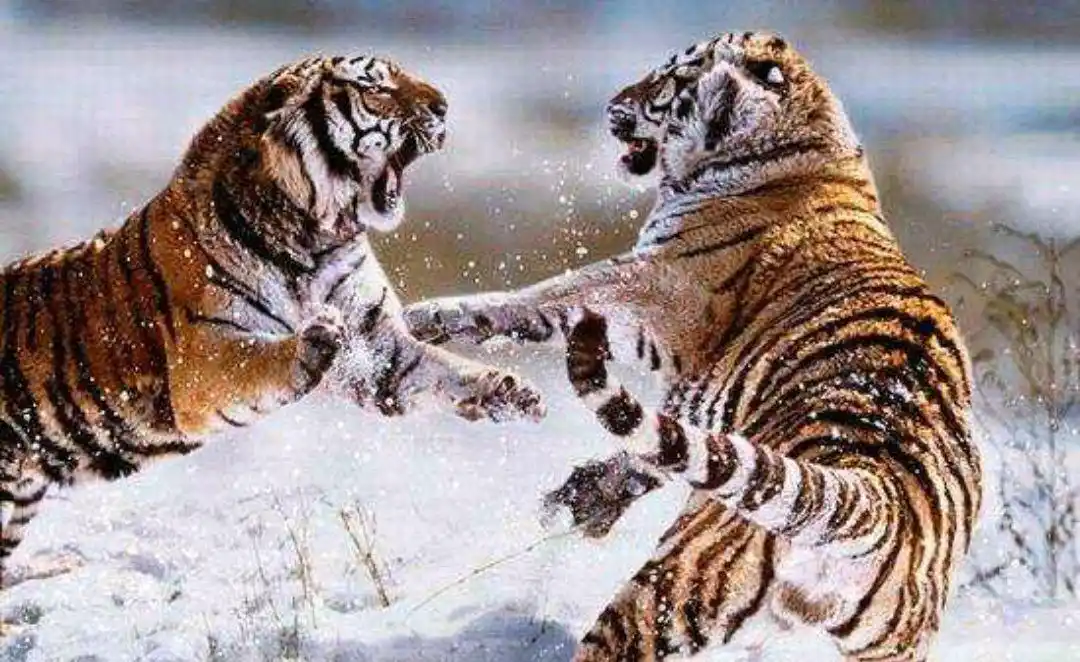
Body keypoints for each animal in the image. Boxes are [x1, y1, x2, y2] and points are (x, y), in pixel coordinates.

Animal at [0, 54, 544, 589]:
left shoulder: (375, 348)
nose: (444, 105)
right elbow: (256, 362)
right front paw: (311, 342)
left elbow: (443, 369)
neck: (314, 236)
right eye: (376, 88)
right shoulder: (198, 364)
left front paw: (512, 392)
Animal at [404, 32, 982, 661]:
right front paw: (584, 500)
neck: (805, 146)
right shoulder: (691, 390)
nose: (612, 106)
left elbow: (549, 296)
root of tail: (879, 496)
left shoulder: (657, 291)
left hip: (671, 590)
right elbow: (664, 446)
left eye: (671, 79)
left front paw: (427, 316)